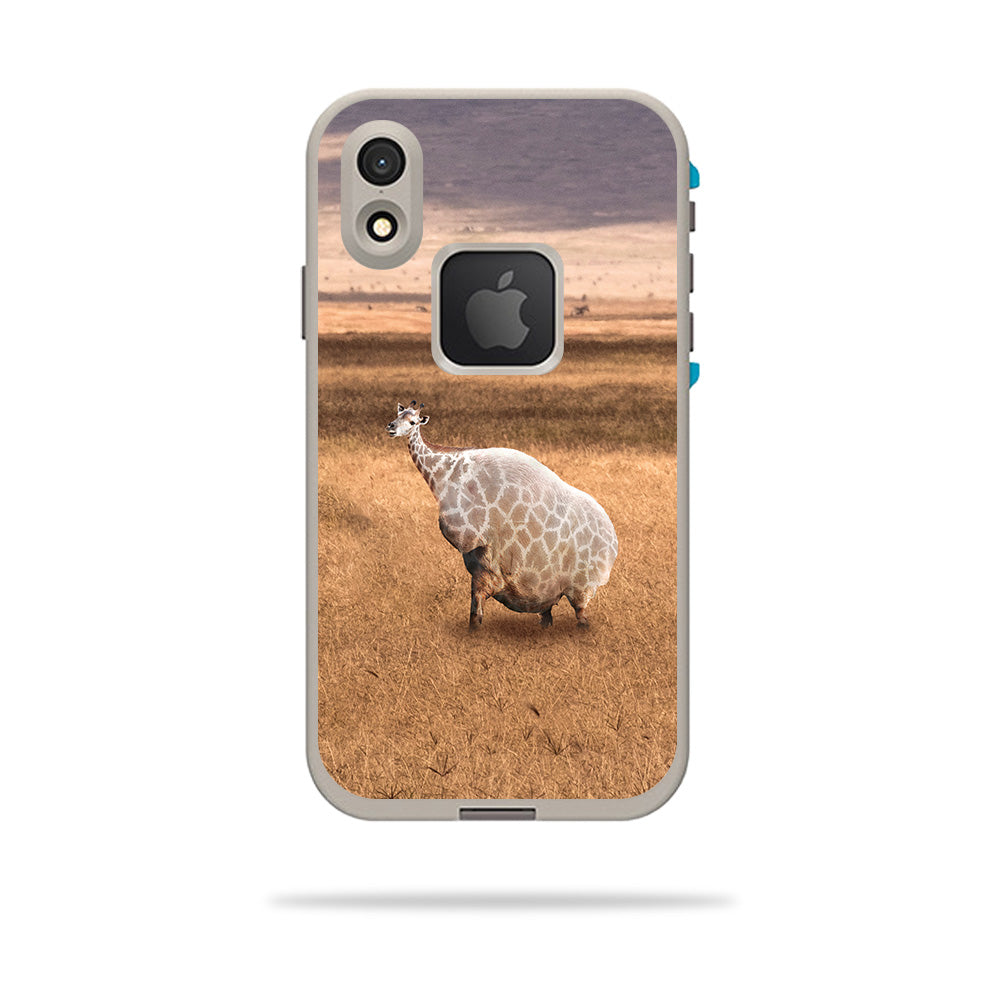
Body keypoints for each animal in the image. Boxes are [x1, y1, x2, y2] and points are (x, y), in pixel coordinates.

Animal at [386, 402, 618, 630]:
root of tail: (612, 540)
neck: (445, 479)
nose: (391, 427)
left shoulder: (471, 535)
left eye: (413, 422)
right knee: (548, 615)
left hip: (581, 585)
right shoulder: (482, 570)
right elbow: (475, 617)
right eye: (398, 414)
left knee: (582, 617)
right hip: (551, 594)